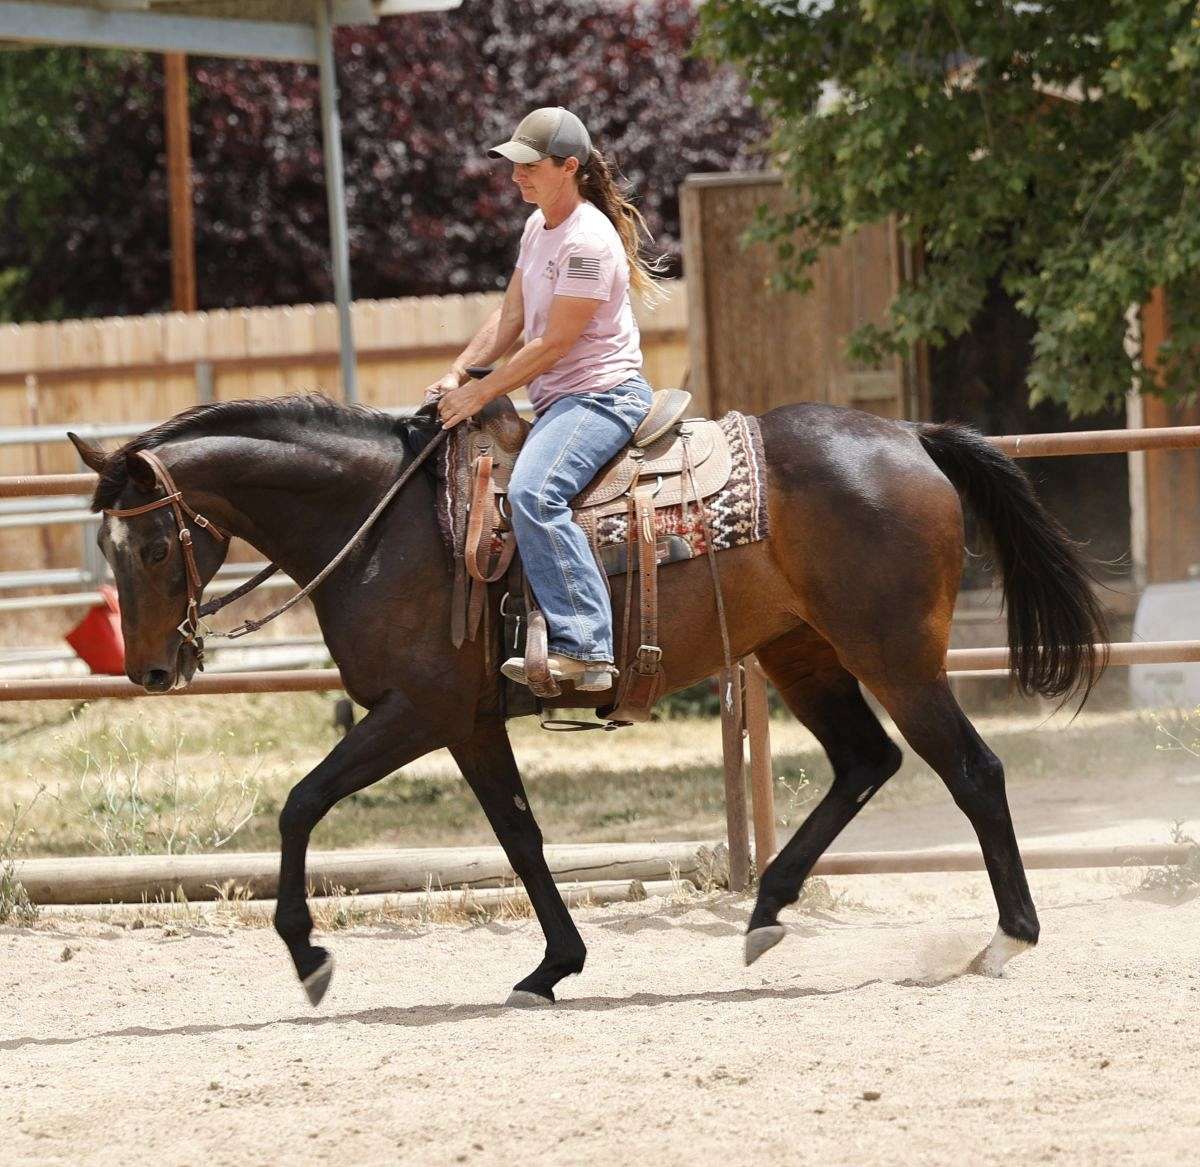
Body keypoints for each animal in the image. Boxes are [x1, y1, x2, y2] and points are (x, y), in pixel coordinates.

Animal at [69, 393, 1107, 1006]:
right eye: (109, 549)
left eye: (153, 546)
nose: (150, 669)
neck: (384, 522)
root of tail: (910, 437)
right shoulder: (470, 723)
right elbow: (520, 835)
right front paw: (552, 965)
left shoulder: (418, 710)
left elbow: (301, 802)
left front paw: (309, 956)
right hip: (800, 652)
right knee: (866, 761)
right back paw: (767, 910)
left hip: (895, 658)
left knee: (972, 769)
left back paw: (1008, 937)